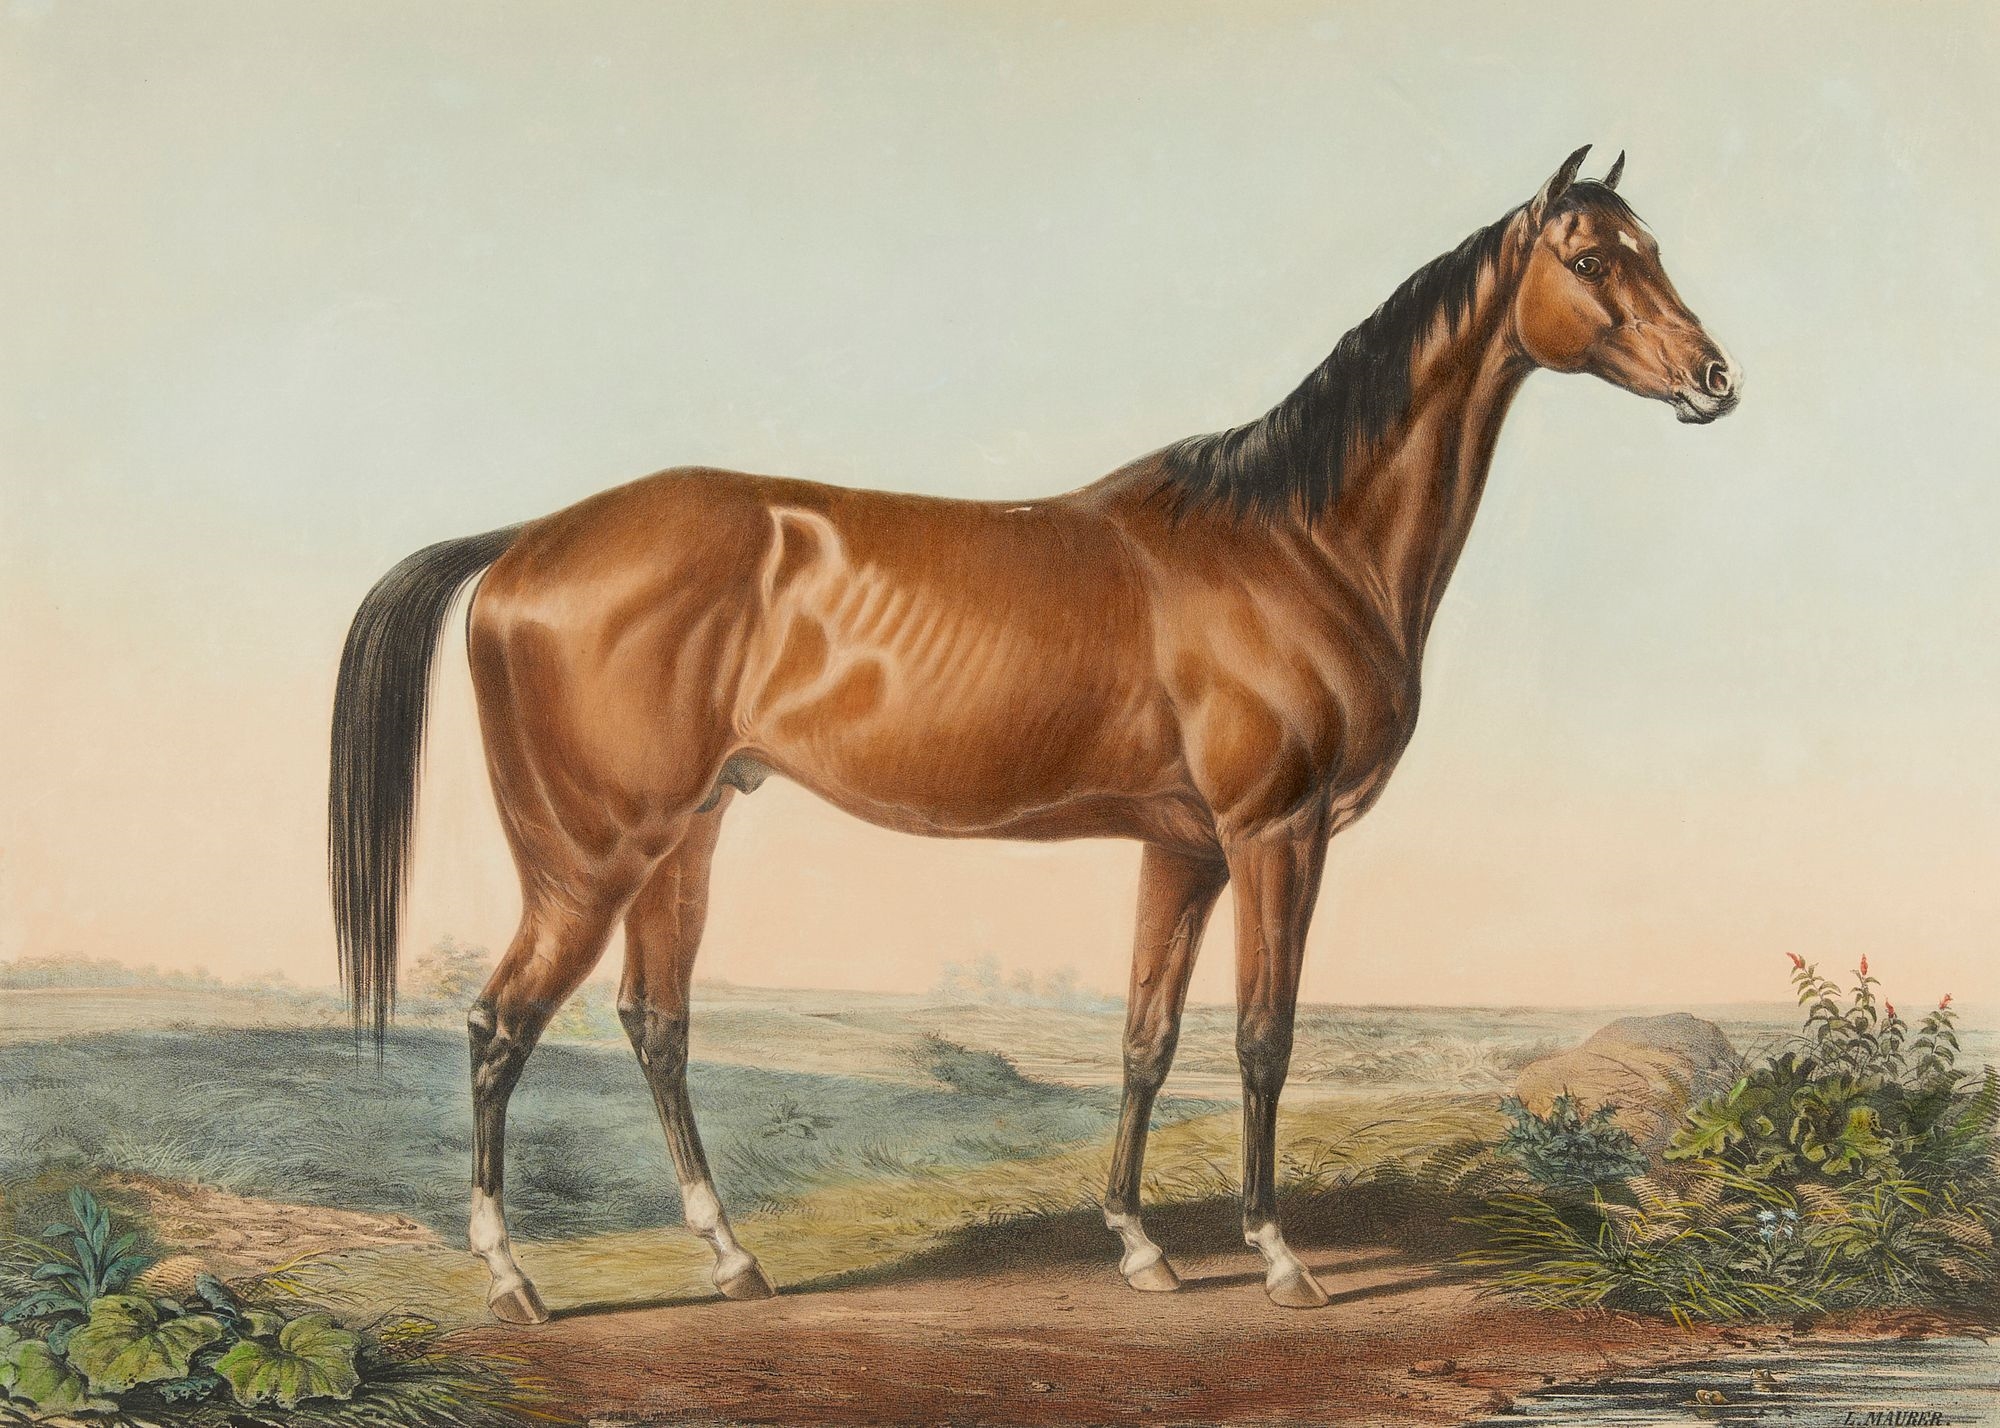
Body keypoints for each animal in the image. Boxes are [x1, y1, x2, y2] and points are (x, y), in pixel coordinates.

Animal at [328, 144, 1739, 1324]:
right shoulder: (1273, 835)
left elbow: (1145, 1041)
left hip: (686, 837)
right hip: (586, 857)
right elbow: (1262, 1040)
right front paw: (1277, 1257)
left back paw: (731, 1260)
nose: (1714, 379)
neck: (1291, 539)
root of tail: (524, 543)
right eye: (1592, 258)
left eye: (1650, 243)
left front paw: (1139, 1244)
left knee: (654, 1027)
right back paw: (512, 1279)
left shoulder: (1185, 847)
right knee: (499, 1027)